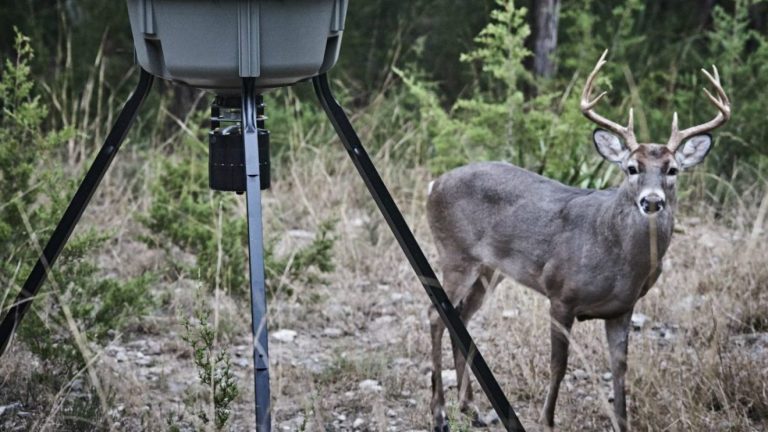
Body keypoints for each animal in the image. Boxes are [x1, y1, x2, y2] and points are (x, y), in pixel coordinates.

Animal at [425, 50, 731, 432]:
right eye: (631, 168)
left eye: (672, 169)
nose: (652, 201)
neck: (619, 261)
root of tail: (434, 185)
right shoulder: (561, 293)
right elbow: (559, 365)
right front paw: (547, 420)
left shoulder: (623, 308)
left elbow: (620, 370)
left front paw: (622, 423)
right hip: (455, 253)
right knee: (436, 315)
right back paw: (439, 413)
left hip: (488, 270)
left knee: (461, 316)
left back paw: (470, 407)